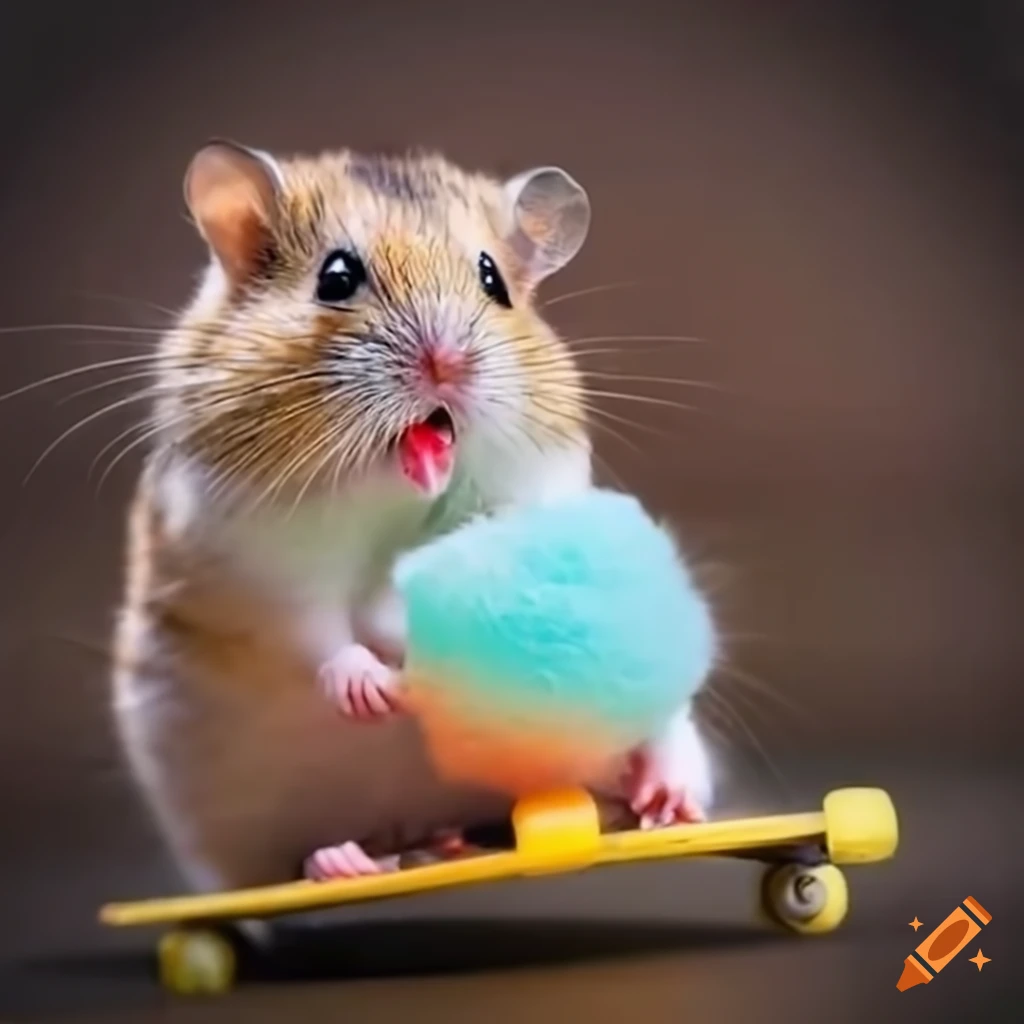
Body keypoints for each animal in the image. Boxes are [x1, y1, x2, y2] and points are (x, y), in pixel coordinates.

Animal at [111, 140, 715, 895]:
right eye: (336, 277)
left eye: (493, 279)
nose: (446, 364)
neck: (392, 495)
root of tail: (423, 824)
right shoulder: (255, 556)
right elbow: (317, 630)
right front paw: (371, 692)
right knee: (305, 857)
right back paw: (348, 859)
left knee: (659, 742)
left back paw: (663, 797)